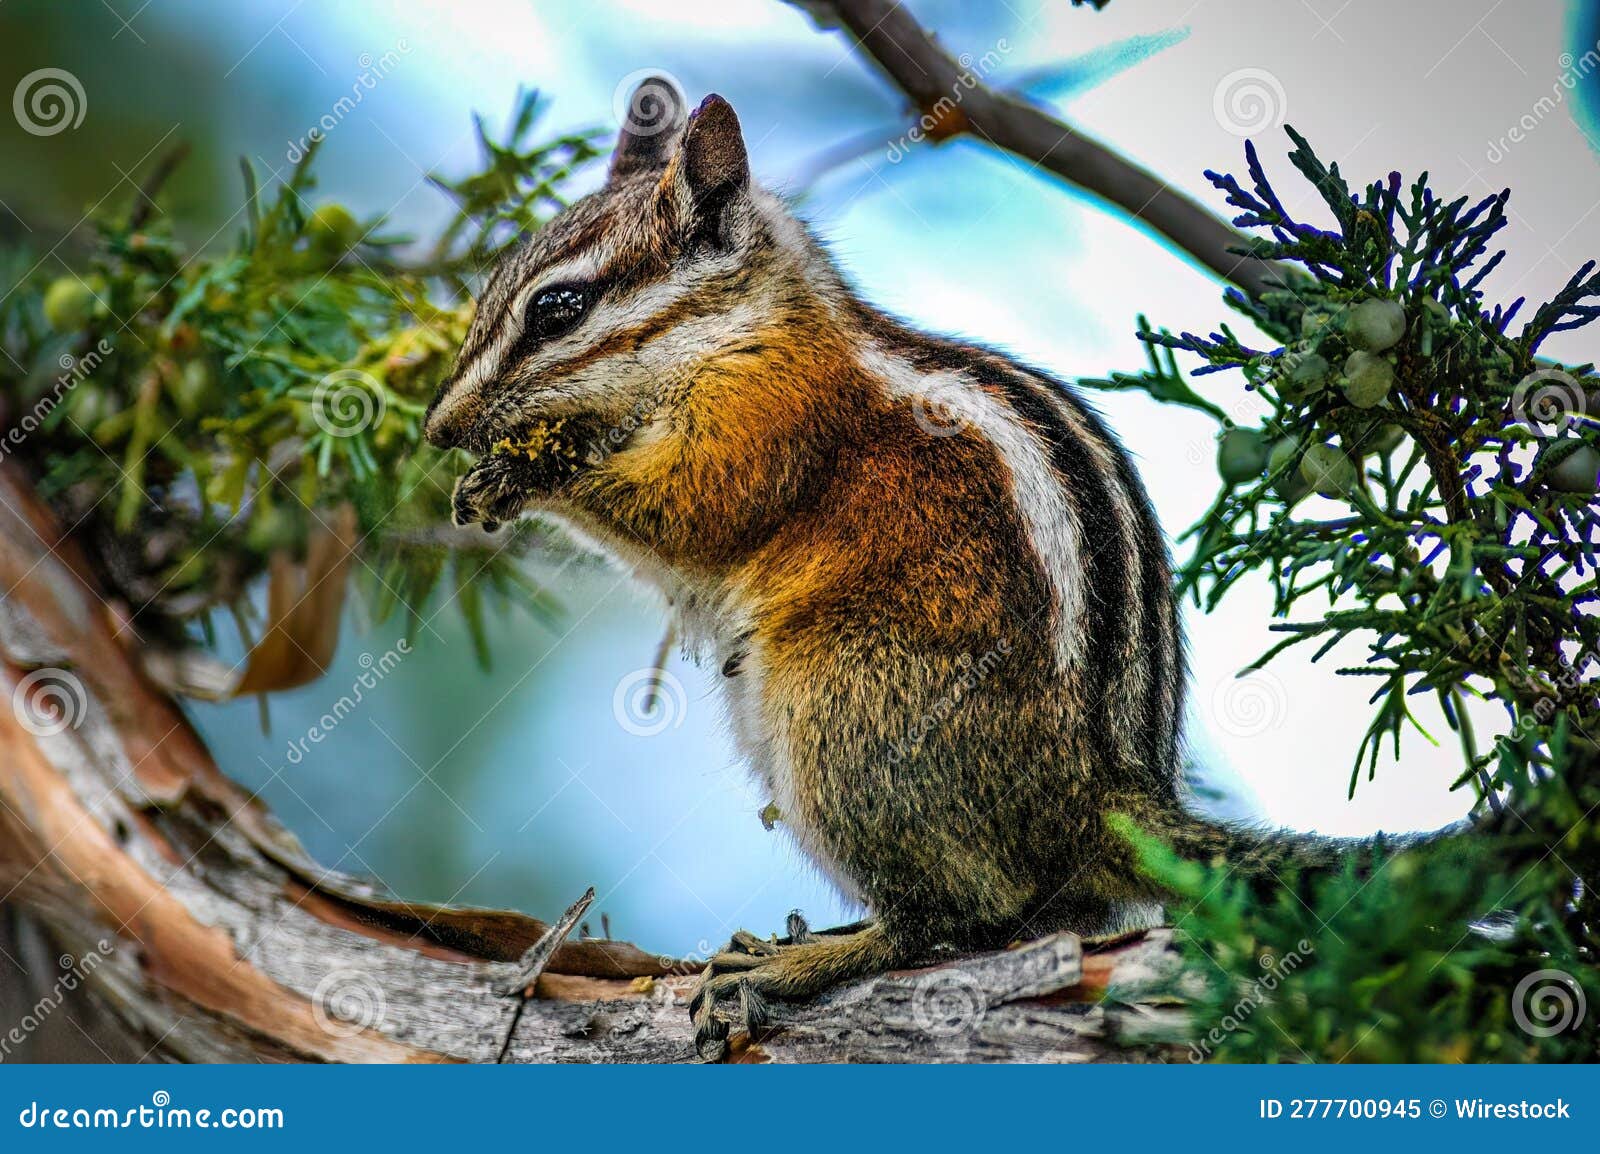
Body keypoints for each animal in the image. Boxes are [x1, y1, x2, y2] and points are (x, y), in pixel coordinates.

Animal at [425, 79, 1347, 1059]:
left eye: (557, 308)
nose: (440, 428)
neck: (741, 331)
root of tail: (1104, 799)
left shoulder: (768, 423)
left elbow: (694, 511)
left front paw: (521, 476)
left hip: (846, 710)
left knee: (949, 915)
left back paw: (796, 963)